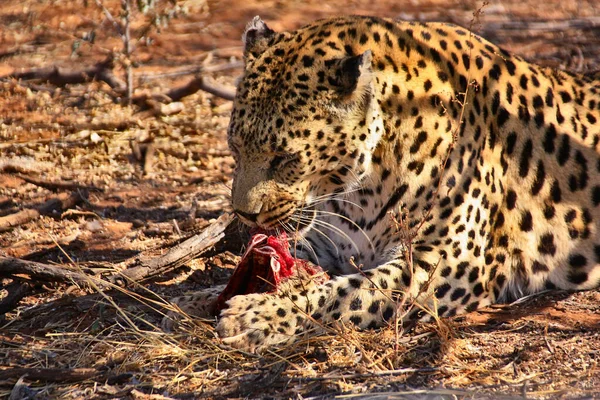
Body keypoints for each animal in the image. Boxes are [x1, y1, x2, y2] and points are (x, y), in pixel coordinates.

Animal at [164, 14, 600, 352]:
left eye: (284, 158)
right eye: (235, 147)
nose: (243, 215)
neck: (359, 189)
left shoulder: (446, 260)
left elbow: (348, 292)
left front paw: (258, 315)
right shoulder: (332, 241)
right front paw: (199, 298)